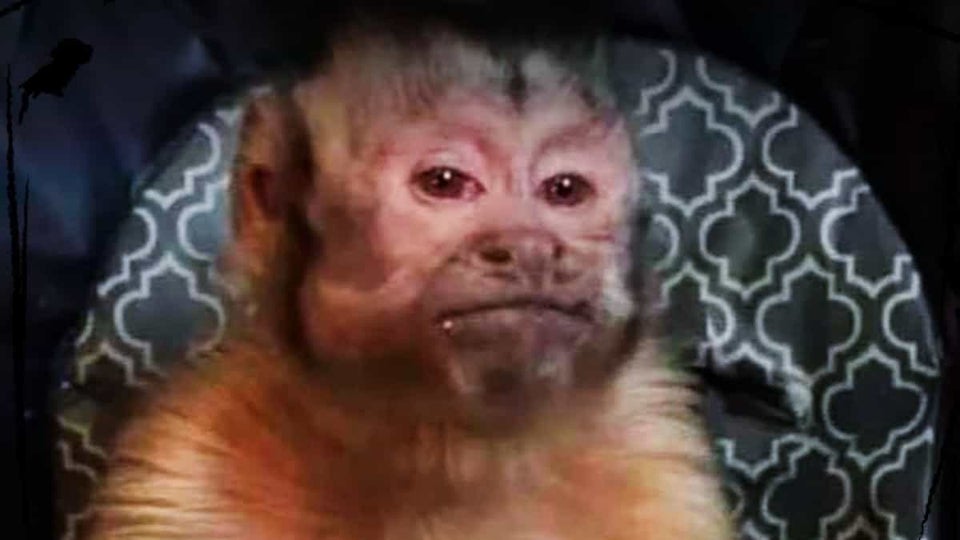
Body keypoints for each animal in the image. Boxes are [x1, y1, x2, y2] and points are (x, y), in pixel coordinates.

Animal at [87, 10, 734, 540]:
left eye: (565, 191)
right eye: (445, 182)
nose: (527, 248)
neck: (449, 453)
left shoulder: (660, 468)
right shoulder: (181, 472)